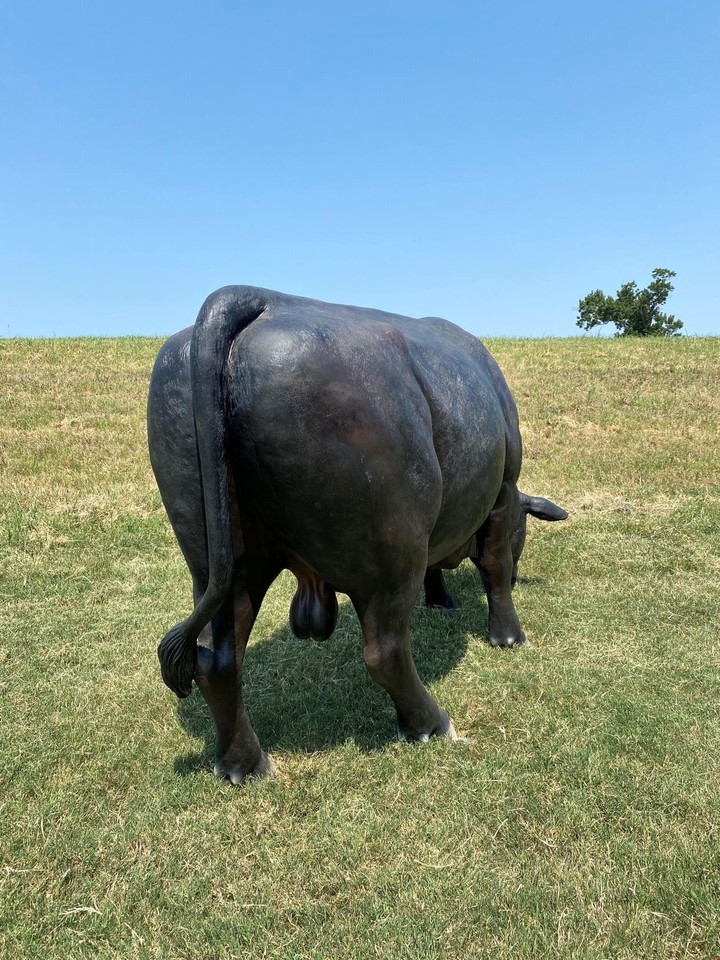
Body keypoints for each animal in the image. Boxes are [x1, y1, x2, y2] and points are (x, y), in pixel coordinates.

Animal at [147, 286, 567, 782]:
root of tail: (256, 298)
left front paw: (441, 601)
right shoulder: (503, 488)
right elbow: (494, 565)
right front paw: (509, 637)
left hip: (224, 561)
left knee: (217, 658)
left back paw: (244, 765)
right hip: (390, 550)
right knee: (384, 650)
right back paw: (433, 725)